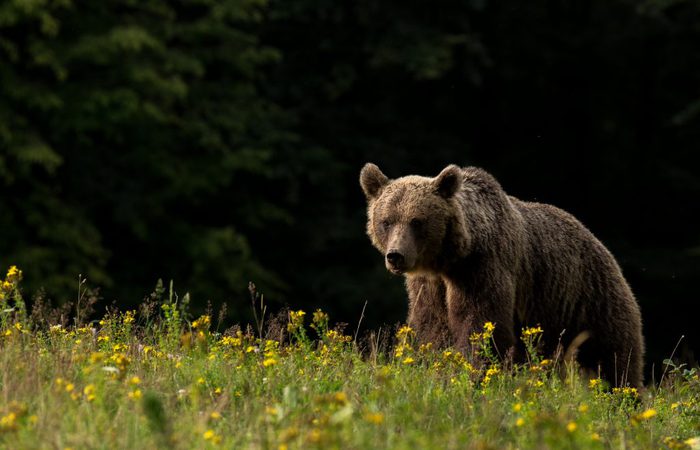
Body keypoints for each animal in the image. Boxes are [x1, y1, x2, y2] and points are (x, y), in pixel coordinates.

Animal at [360, 163, 644, 388]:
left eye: (417, 221)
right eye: (386, 221)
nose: (396, 256)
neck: (450, 260)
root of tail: (600, 243)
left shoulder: (483, 268)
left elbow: (481, 325)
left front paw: (472, 374)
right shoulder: (429, 286)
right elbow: (432, 328)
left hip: (589, 300)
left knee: (613, 358)